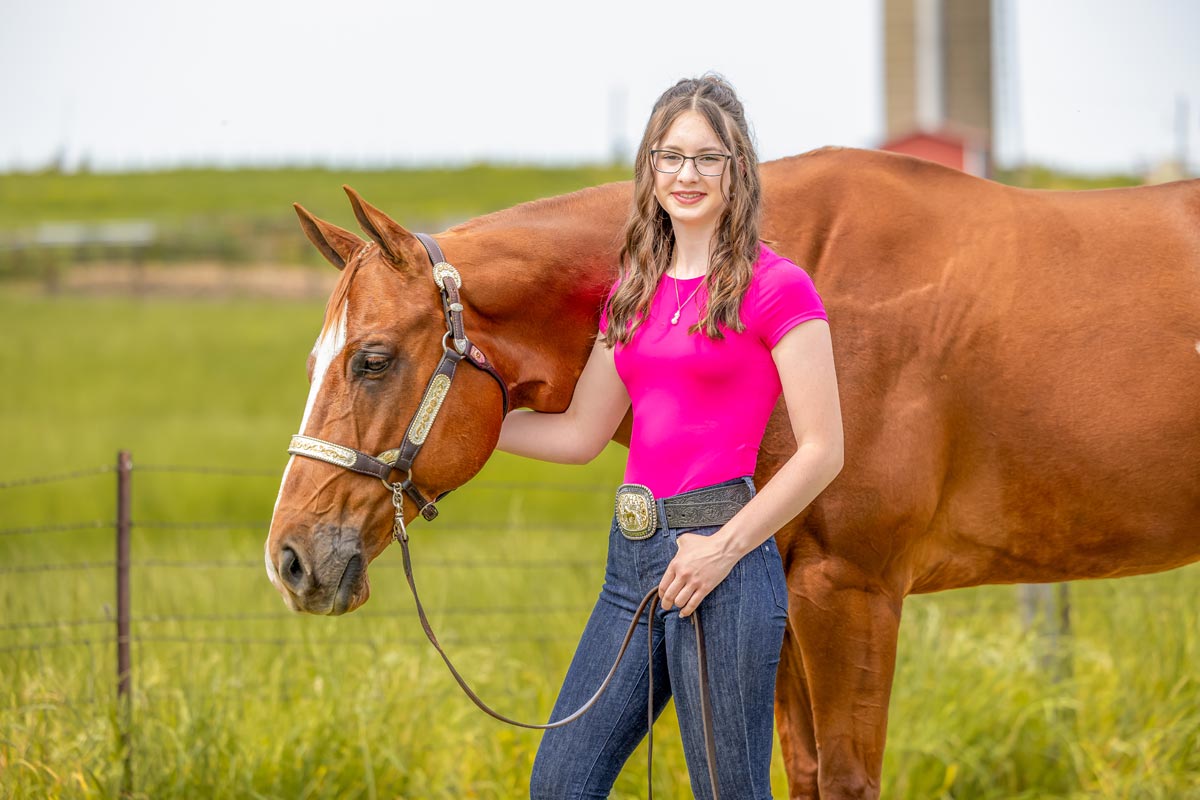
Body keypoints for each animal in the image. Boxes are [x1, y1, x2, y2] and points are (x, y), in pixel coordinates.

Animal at [265, 146, 1200, 799]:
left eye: (372, 359)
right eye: (310, 361)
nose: (291, 560)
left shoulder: (853, 592)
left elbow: (848, 779)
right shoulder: (783, 603)